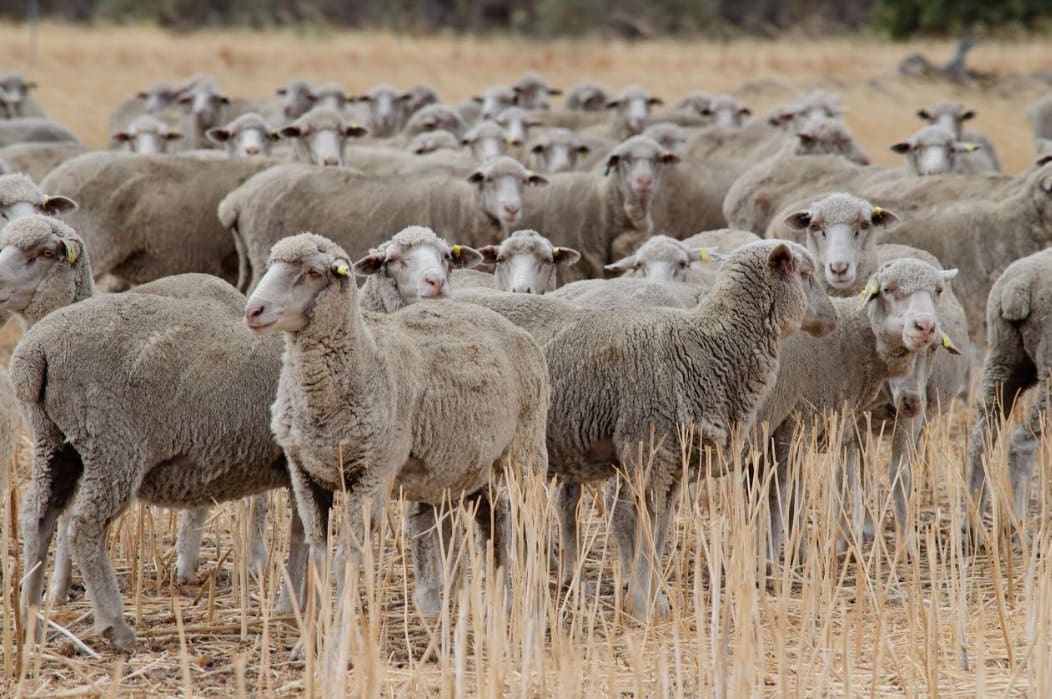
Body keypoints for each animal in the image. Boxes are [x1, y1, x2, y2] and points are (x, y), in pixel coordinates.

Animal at [545, 240, 835, 617]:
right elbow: (636, 521)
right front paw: (642, 604)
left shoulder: (673, 459)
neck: (706, 346)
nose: (833, 317)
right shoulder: (647, 447)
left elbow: (660, 527)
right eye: (806, 274)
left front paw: (655, 598)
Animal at [756, 257, 961, 560]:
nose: (924, 326)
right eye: (887, 289)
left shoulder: (901, 419)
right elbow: (837, 478)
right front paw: (833, 545)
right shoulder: (835, 421)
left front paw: (907, 544)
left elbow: (898, 473)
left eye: (938, 290)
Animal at [966, 247, 1052, 532]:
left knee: (981, 436)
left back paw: (971, 526)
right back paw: (1019, 528)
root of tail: (1021, 284)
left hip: (1003, 361)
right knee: (1021, 442)